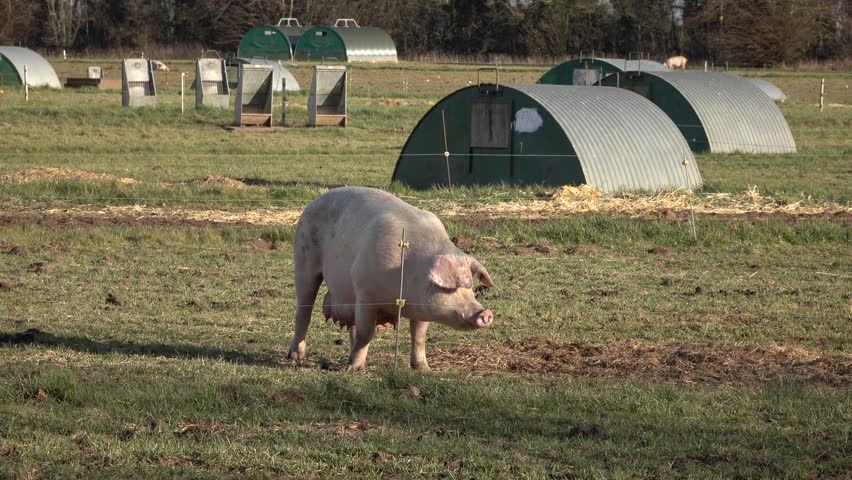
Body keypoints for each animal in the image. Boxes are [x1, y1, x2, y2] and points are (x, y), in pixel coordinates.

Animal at [288, 187, 496, 371]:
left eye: (471, 288)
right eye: (451, 288)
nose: (485, 313)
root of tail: (311, 204)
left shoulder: (422, 308)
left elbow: (418, 336)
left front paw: (424, 369)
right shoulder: (365, 293)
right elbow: (366, 333)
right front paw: (352, 369)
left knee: (351, 325)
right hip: (304, 259)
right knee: (303, 312)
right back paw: (295, 357)